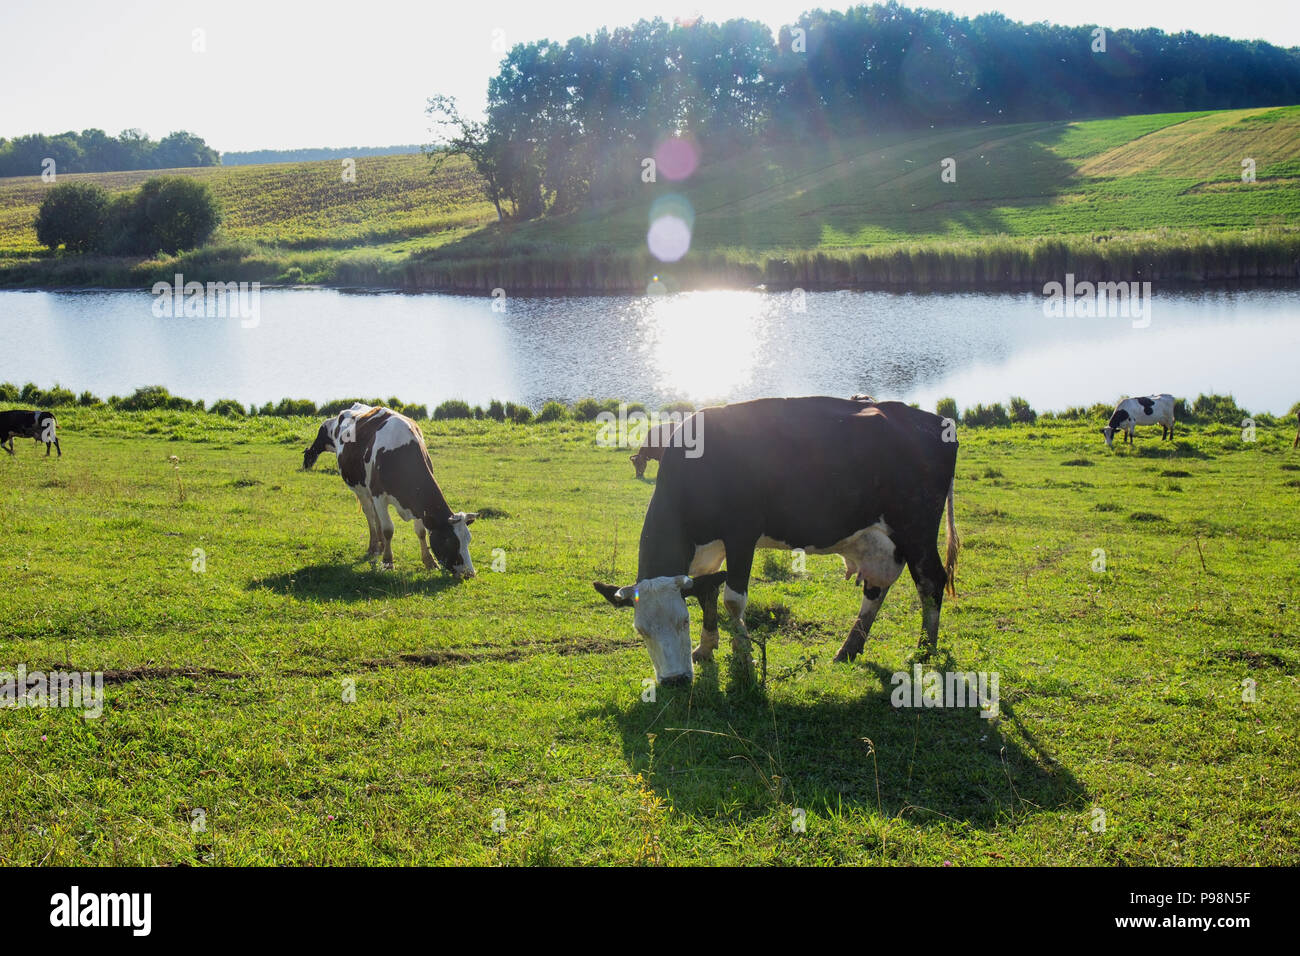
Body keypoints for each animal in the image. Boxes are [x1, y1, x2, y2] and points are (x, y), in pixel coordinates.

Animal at [332, 405, 478, 576]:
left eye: (468, 539)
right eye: (449, 541)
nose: (470, 573)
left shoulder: (417, 505)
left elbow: (421, 531)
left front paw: (429, 561)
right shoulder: (379, 495)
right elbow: (388, 529)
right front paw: (388, 562)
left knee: (376, 516)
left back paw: (381, 545)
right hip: (361, 490)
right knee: (370, 515)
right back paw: (374, 547)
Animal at [595, 397, 959, 685]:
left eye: (682, 621)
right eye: (640, 631)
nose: (675, 681)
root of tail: (933, 420)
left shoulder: (742, 535)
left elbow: (732, 600)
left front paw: (744, 656)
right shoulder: (707, 550)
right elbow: (707, 593)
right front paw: (706, 646)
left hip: (917, 530)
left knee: (930, 582)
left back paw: (924, 650)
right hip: (883, 542)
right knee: (876, 587)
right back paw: (848, 650)